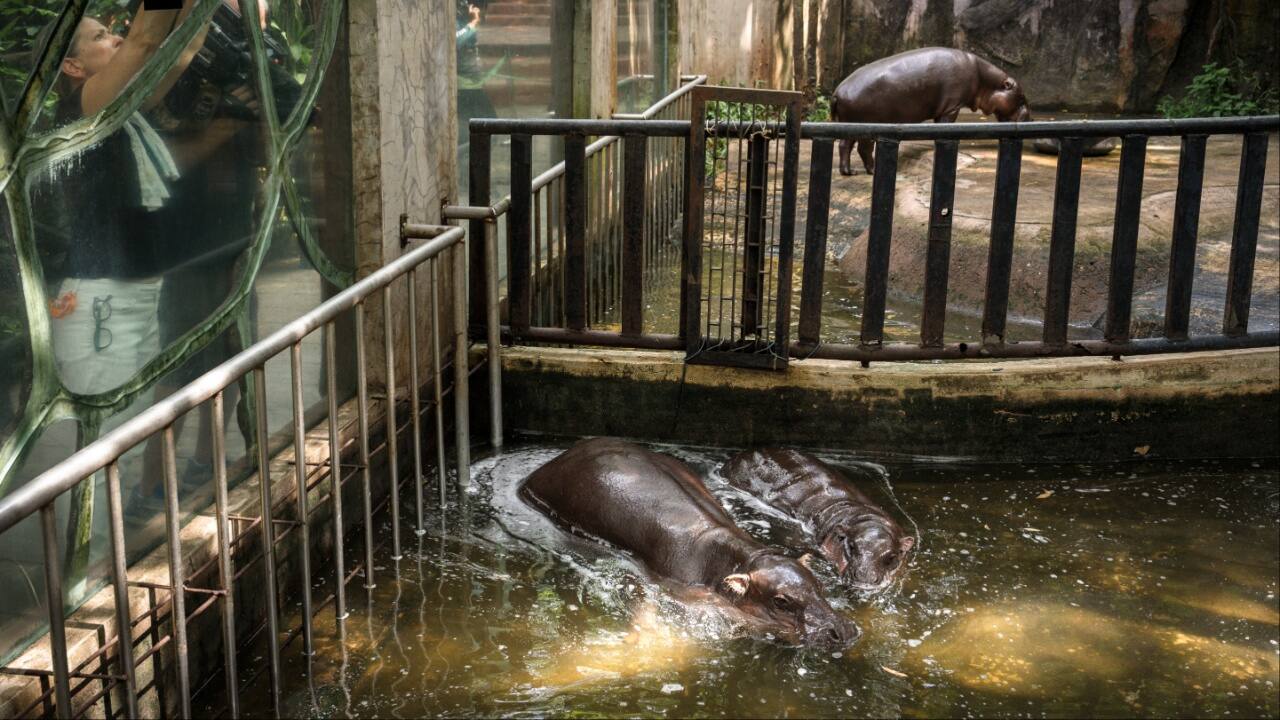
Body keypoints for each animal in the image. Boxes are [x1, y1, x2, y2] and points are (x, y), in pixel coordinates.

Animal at [832, 47, 1032, 176]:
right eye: (1022, 98)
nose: (1030, 118)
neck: (986, 81)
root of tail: (837, 91)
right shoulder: (951, 107)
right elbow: (945, 125)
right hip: (867, 127)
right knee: (863, 148)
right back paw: (872, 171)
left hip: (850, 125)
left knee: (844, 146)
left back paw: (848, 172)